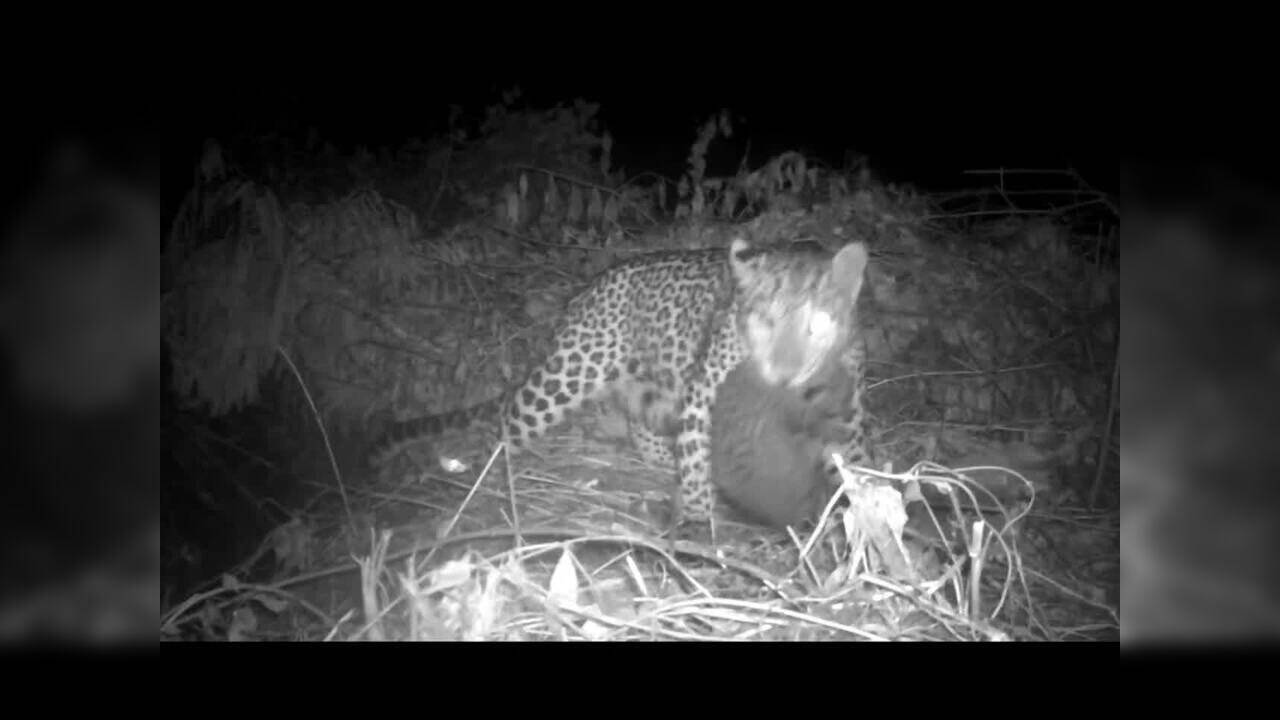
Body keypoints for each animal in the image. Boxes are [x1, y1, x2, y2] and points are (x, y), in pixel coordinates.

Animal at [369, 233, 873, 531]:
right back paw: (486, 482)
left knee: (642, 426)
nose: (783, 374)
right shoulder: (706, 398)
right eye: (765, 322)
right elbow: (697, 460)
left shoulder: (847, 410)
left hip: (654, 385)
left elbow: (856, 464)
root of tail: (585, 292)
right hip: (567, 375)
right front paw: (698, 523)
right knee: (509, 425)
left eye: (815, 325)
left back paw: (661, 456)